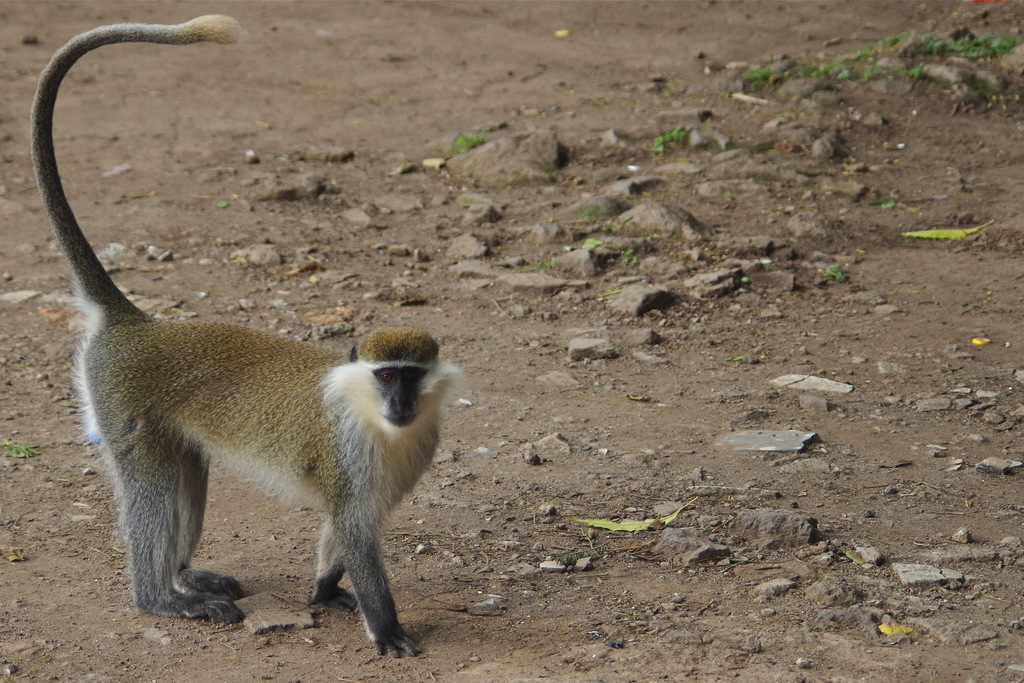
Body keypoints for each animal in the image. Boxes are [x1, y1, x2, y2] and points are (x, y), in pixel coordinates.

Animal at [30, 16, 463, 657]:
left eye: (410, 378)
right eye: (386, 376)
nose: (401, 403)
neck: (372, 418)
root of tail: (138, 325)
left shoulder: (414, 449)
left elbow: (351, 527)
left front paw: (324, 591)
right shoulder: (346, 458)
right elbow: (356, 531)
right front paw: (386, 629)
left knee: (187, 472)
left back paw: (186, 574)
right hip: (121, 404)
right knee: (151, 480)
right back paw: (160, 598)